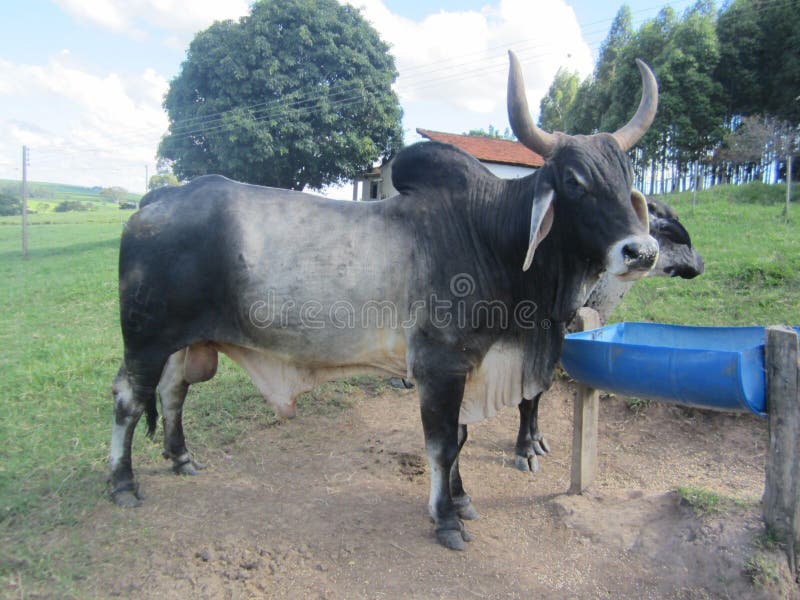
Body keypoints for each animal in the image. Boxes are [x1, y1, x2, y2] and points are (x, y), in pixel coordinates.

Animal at [109, 51, 659, 551]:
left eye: (628, 179)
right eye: (574, 181)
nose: (642, 251)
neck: (487, 235)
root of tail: (156, 199)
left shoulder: (469, 365)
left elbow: (461, 438)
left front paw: (461, 500)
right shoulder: (440, 365)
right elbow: (442, 446)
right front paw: (446, 519)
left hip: (185, 343)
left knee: (173, 391)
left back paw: (181, 458)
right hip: (145, 340)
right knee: (128, 400)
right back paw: (122, 484)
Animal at [514, 197, 704, 471]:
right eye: (668, 229)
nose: (699, 261)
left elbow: (537, 396)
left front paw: (536, 438)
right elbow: (527, 399)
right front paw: (524, 449)